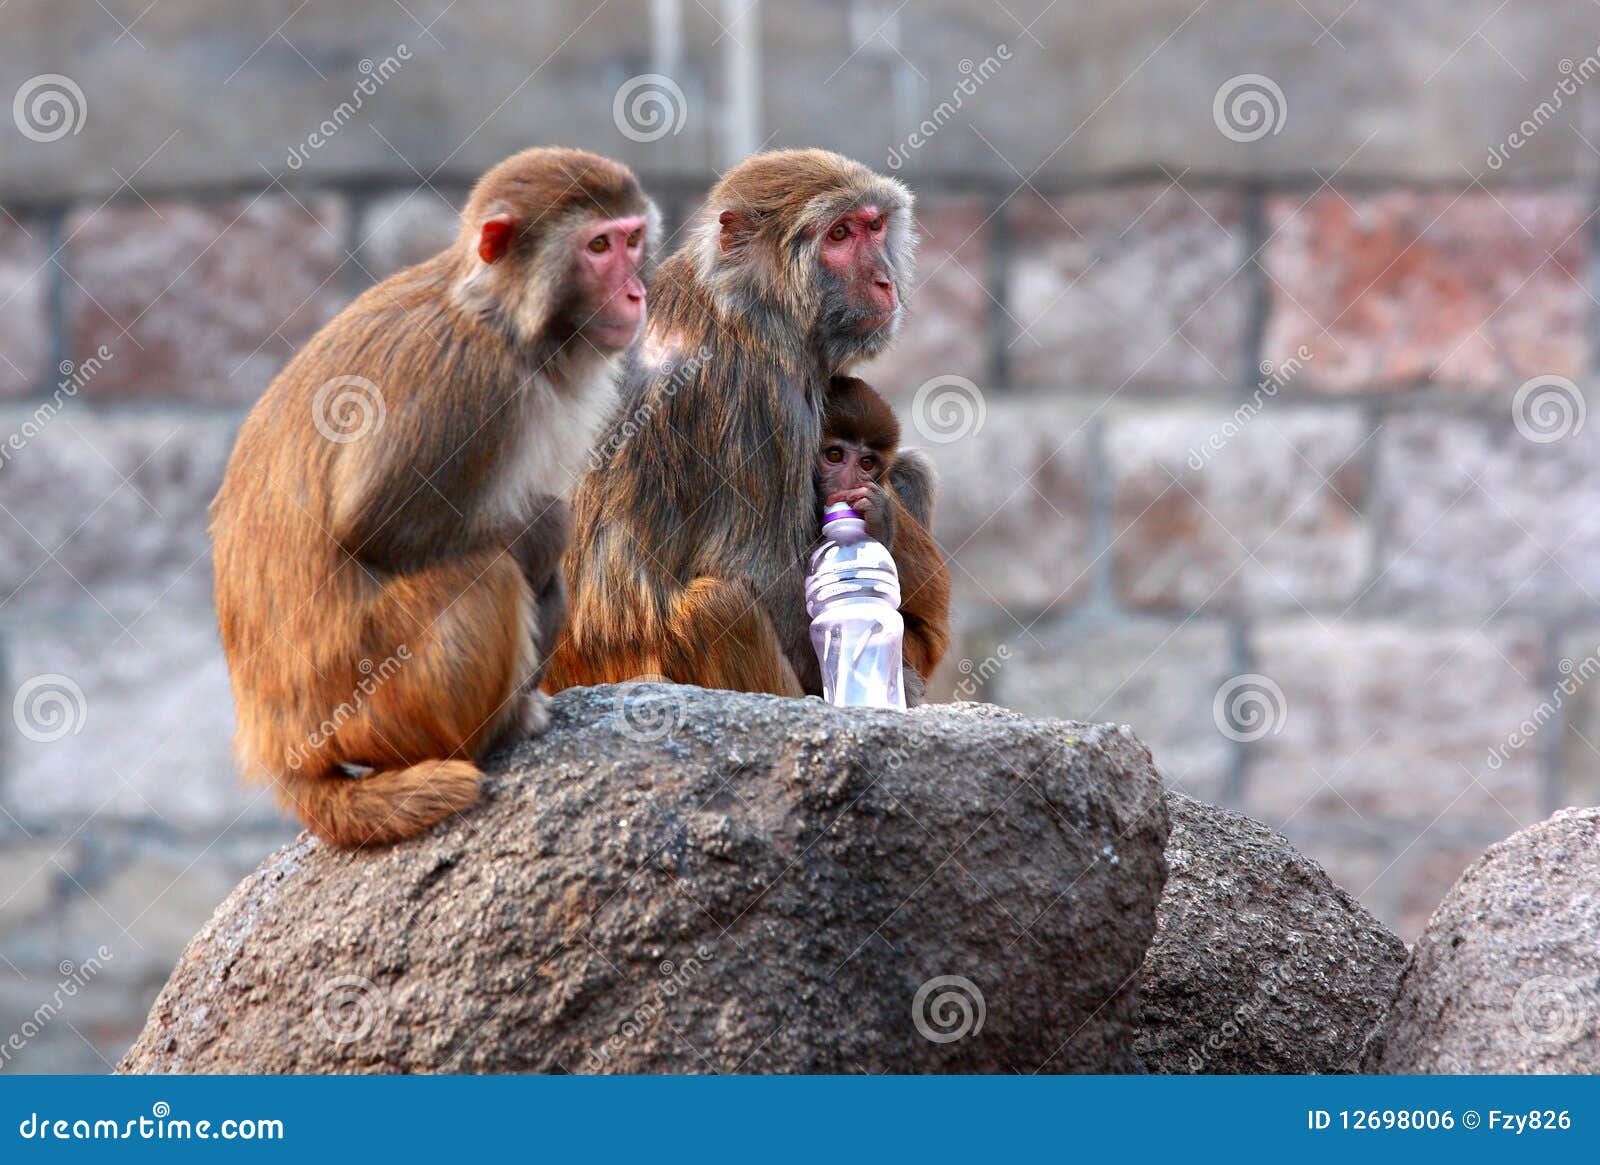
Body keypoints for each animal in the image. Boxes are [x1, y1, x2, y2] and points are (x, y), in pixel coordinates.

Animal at [210, 147, 658, 847]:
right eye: (598, 246)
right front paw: (545, 529)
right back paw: (491, 735)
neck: (504, 323)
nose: (636, 293)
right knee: (487, 574)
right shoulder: (467, 381)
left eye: (633, 240)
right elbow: (373, 523)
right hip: (374, 708)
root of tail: (286, 754)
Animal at [543, 149, 915, 698]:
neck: (744, 299)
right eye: (839, 234)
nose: (884, 282)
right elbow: (768, 581)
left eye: (874, 225)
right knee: (718, 607)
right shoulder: (765, 394)